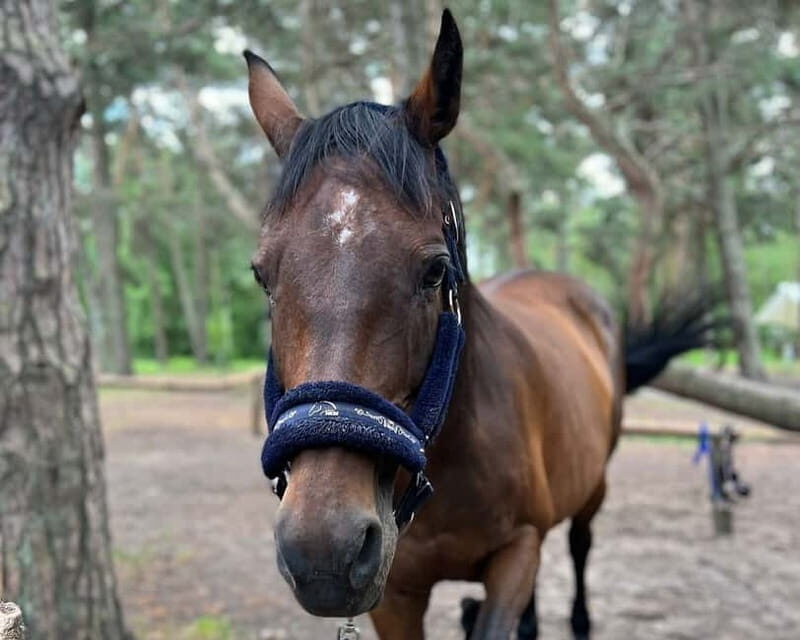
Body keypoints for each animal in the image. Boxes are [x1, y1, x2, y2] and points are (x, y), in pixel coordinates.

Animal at [245, 10, 708, 639]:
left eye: (435, 270)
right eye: (261, 274)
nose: (323, 547)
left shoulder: (514, 552)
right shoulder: (396, 595)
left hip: (593, 486)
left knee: (581, 543)